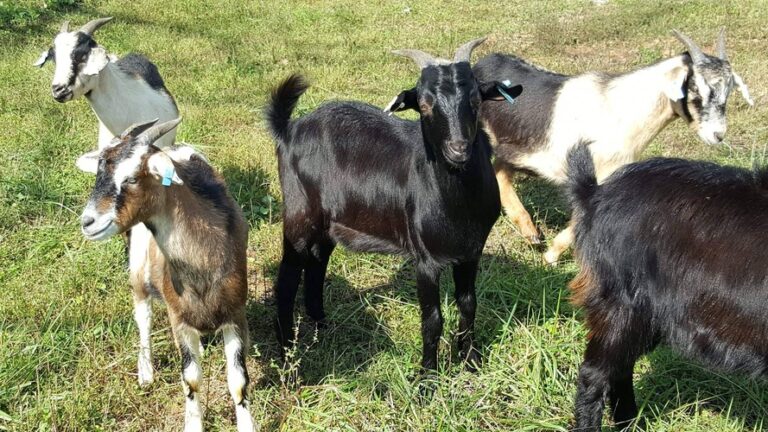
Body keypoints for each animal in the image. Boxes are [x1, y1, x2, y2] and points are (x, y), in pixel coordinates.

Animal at [78, 119, 254, 432]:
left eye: (131, 178)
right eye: (98, 173)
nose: (88, 222)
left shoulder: (235, 313)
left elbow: (238, 381)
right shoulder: (178, 318)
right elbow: (191, 379)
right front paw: (193, 424)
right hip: (138, 271)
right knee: (143, 319)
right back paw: (146, 372)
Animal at [265, 38, 507, 374]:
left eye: (475, 99)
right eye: (424, 105)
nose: (458, 148)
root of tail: (289, 130)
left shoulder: (471, 252)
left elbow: (469, 306)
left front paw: (471, 360)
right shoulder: (426, 260)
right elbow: (432, 320)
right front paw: (428, 376)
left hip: (330, 223)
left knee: (317, 263)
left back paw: (322, 324)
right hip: (299, 215)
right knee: (287, 279)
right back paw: (287, 353)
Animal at [472, 29, 753, 264]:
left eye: (728, 92)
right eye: (695, 89)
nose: (717, 135)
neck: (619, 110)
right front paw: (550, 257)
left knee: (500, 171)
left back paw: (529, 231)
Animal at [566, 142, 768, 431]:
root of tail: (594, 193)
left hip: (648, 317)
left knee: (620, 369)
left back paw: (630, 424)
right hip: (621, 304)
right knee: (594, 374)